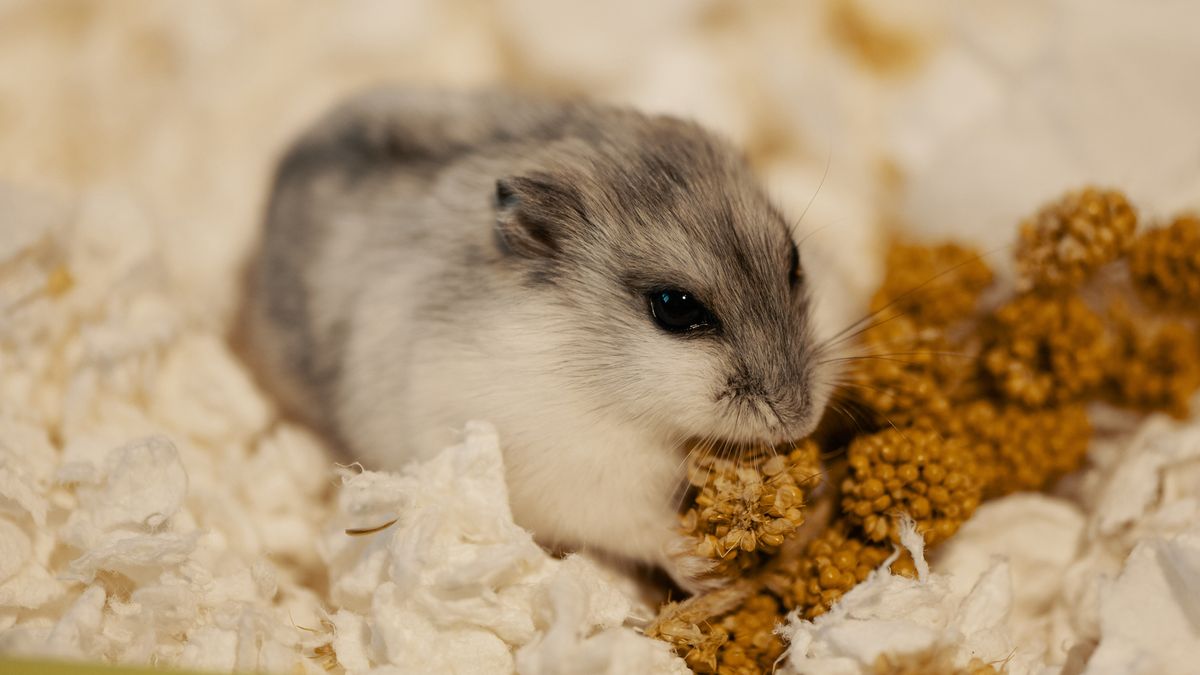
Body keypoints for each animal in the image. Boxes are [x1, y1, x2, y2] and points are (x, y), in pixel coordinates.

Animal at [236, 88, 834, 592]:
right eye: (675, 307)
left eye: (795, 263)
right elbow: (637, 525)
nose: (800, 418)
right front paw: (708, 571)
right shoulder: (576, 475)